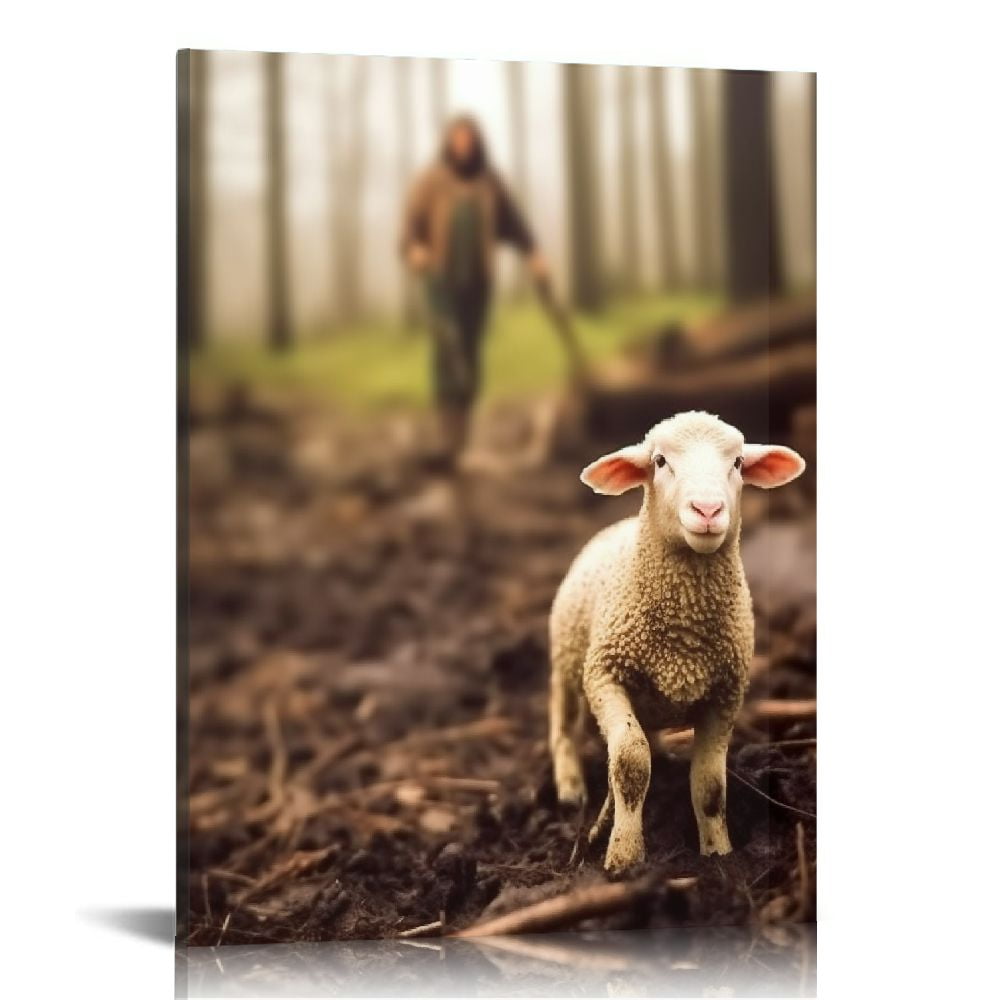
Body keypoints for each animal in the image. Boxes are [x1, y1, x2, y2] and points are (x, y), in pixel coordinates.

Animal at [549, 411, 806, 873]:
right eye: (660, 461)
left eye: (738, 463)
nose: (707, 510)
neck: (683, 639)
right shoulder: (604, 674)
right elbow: (630, 762)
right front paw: (625, 858)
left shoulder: (726, 694)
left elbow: (710, 784)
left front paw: (718, 856)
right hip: (565, 660)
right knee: (562, 726)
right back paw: (571, 788)